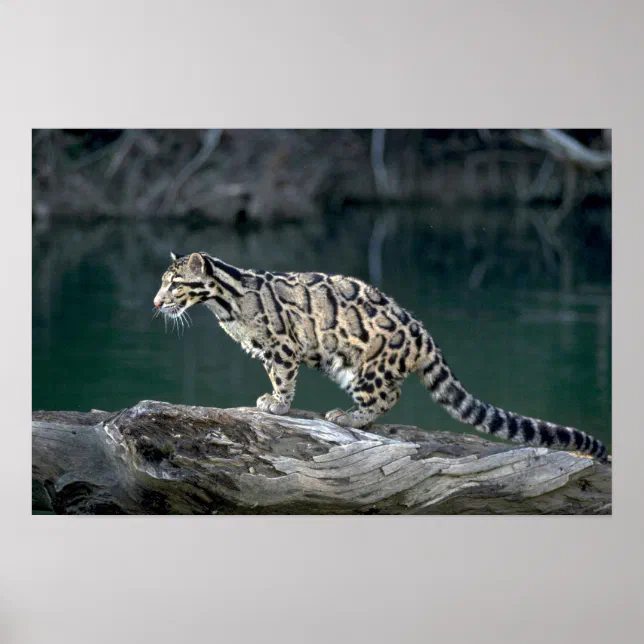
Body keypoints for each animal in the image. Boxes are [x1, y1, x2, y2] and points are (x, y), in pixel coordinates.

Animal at [153, 251, 609, 461]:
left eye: (175, 283)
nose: (156, 302)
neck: (224, 305)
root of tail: (422, 334)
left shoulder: (282, 346)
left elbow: (282, 377)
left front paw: (276, 403)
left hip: (364, 367)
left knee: (388, 397)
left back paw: (349, 416)